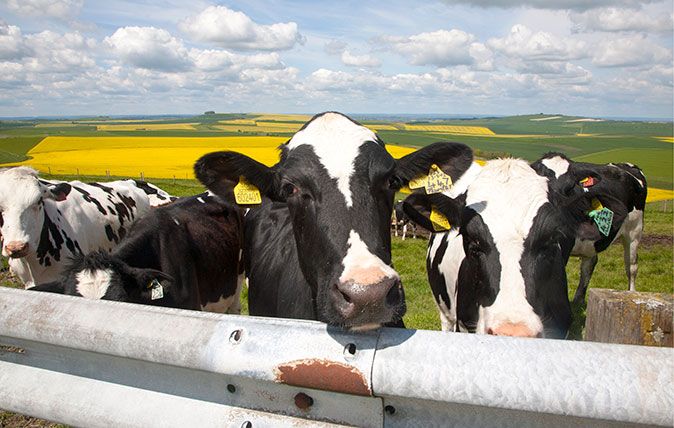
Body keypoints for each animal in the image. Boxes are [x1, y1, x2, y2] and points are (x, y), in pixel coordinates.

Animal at [530, 153, 647, 304]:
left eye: (570, 188)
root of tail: (626, 165)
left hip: (634, 231)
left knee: (631, 266)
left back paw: (631, 294)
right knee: (589, 265)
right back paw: (578, 300)